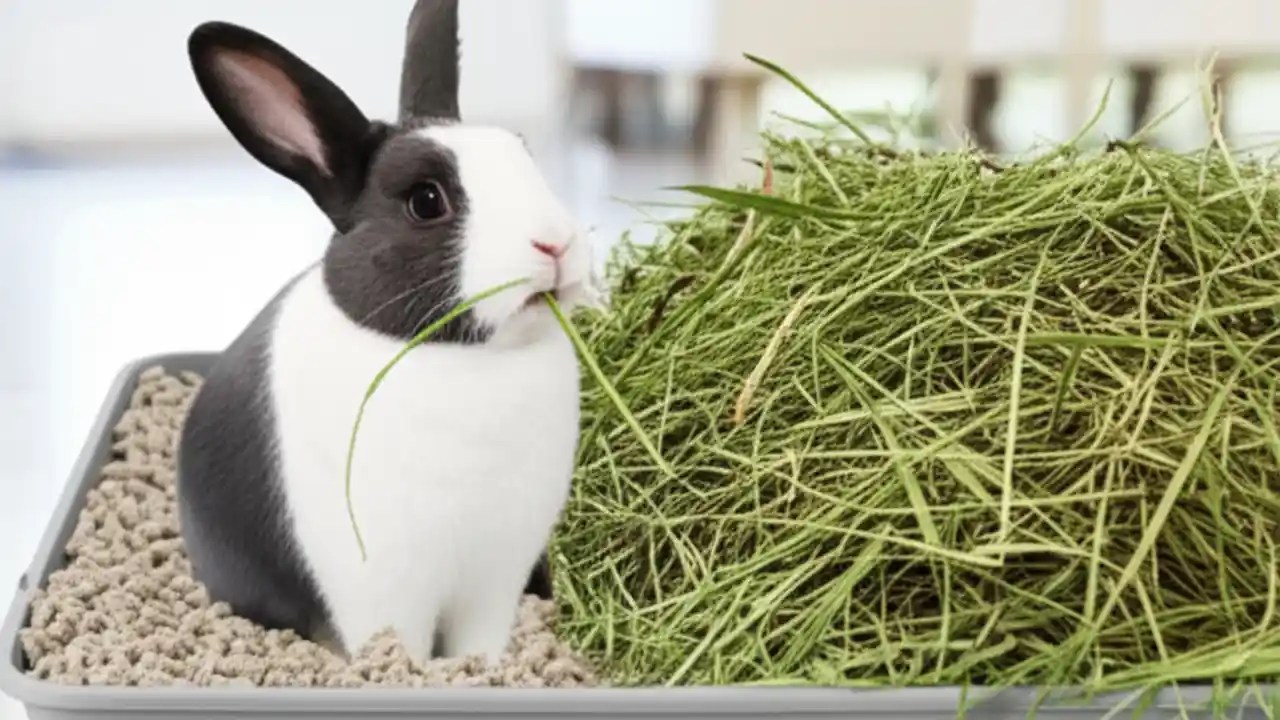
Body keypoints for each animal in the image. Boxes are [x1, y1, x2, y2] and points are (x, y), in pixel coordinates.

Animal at [176, 0, 591, 666]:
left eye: (525, 156)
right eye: (426, 200)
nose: (556, 244)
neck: (467, 360)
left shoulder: (495, 580)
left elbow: (481, 645)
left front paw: (481, 669)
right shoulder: (380, 586)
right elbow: (401, 648)